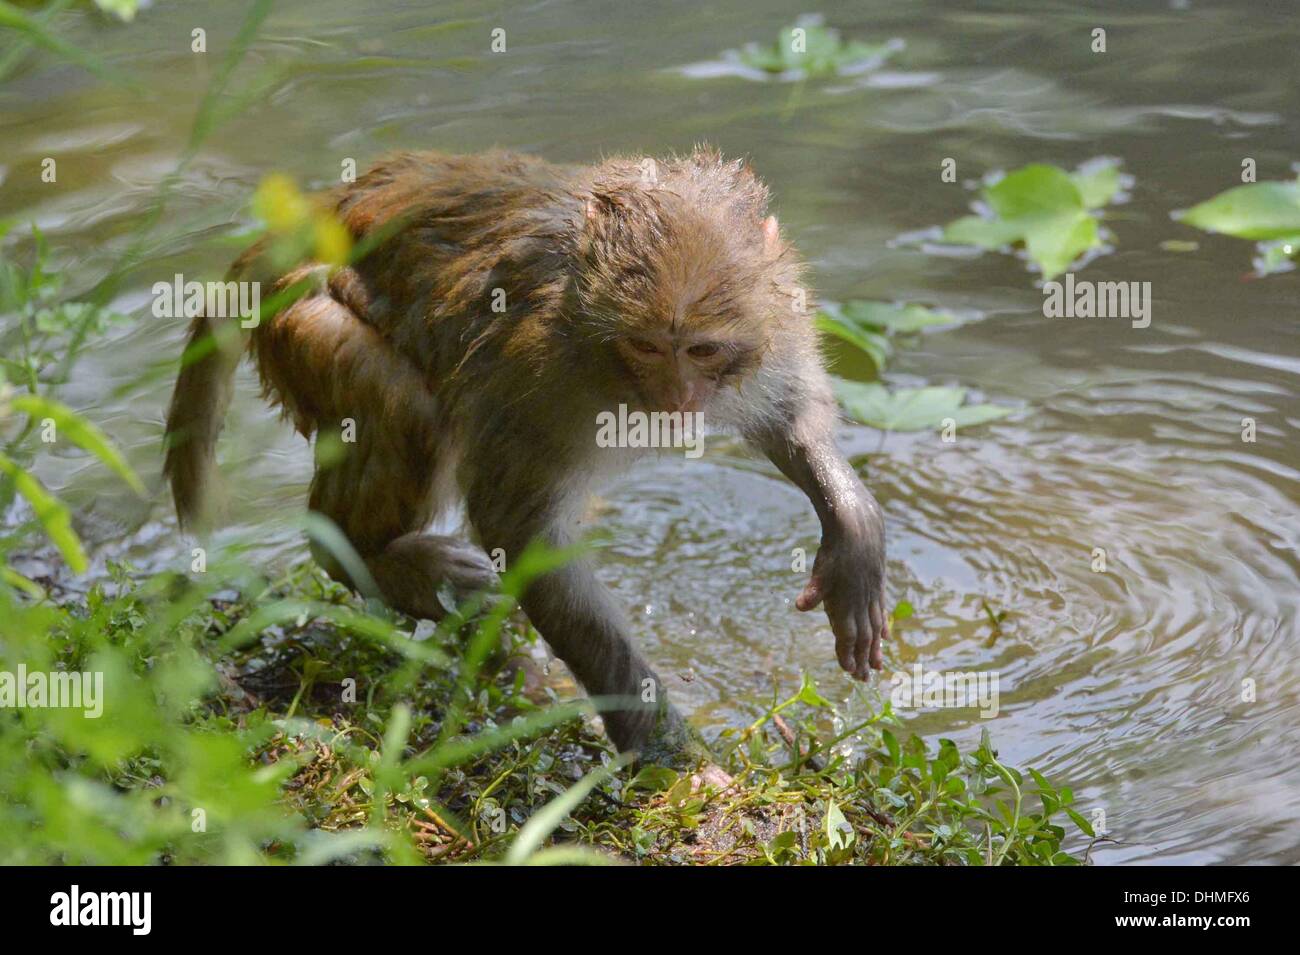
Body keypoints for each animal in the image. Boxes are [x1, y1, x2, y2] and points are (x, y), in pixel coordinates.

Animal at [163, 147, 889, 769]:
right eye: (648, 347)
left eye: (702, 349)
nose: (676, 399)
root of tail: (311, 217)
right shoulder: (537, 377)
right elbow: (526, 535)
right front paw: (661, 746)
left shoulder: (780, 318)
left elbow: (792, 419)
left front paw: (851, 531)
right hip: (307, 317)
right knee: (404, 408)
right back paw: (372, 557)